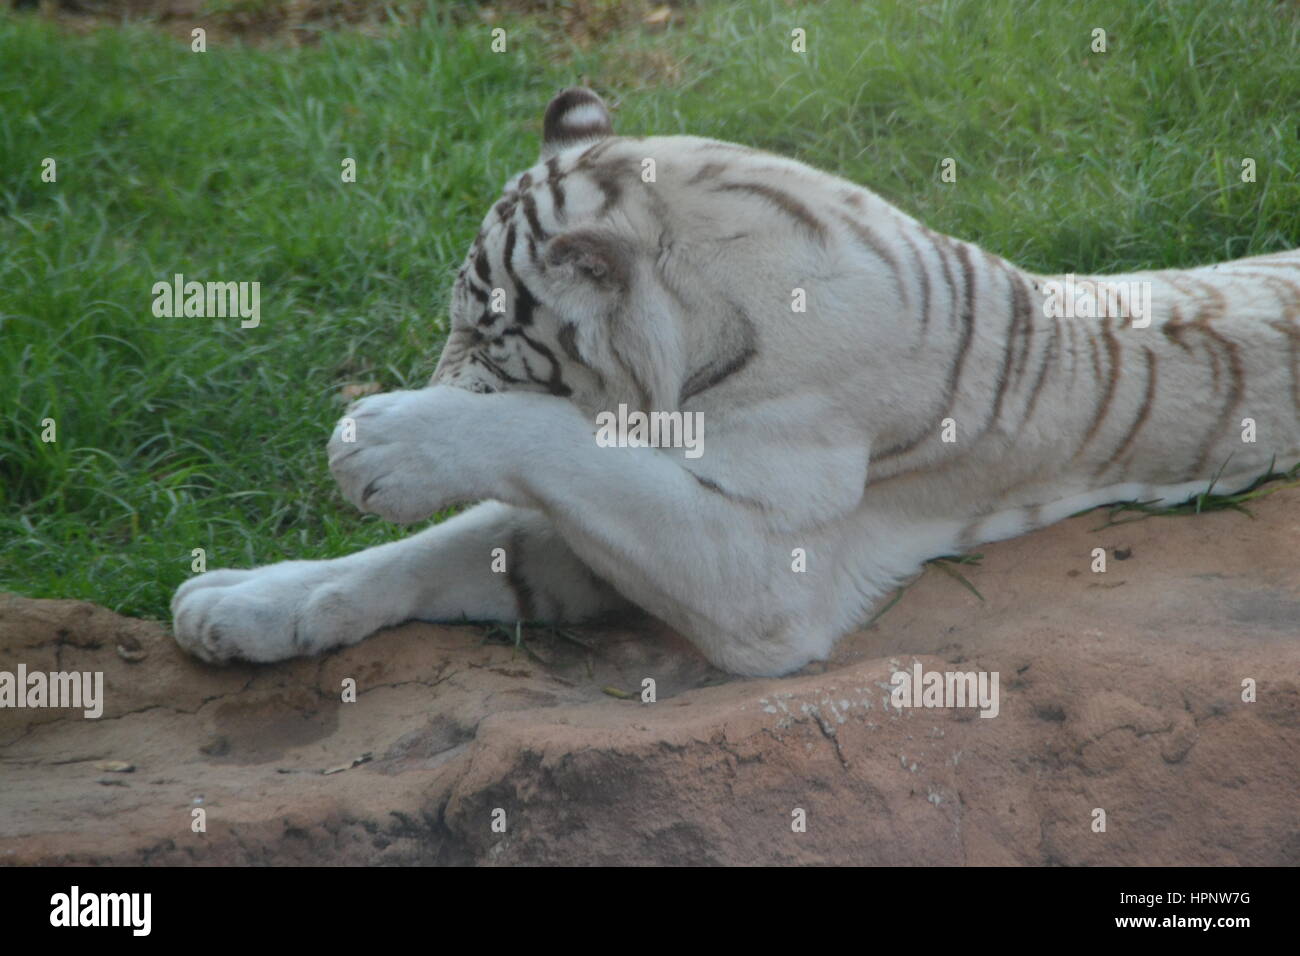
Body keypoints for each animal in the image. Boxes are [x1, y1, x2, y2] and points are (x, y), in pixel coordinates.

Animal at [171, 87, 1300, 678]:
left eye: (481, 331)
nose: (429, 380)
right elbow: (445, 547)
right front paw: (236, 602)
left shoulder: (770, 575)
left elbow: (559, 447)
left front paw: (385, 440)